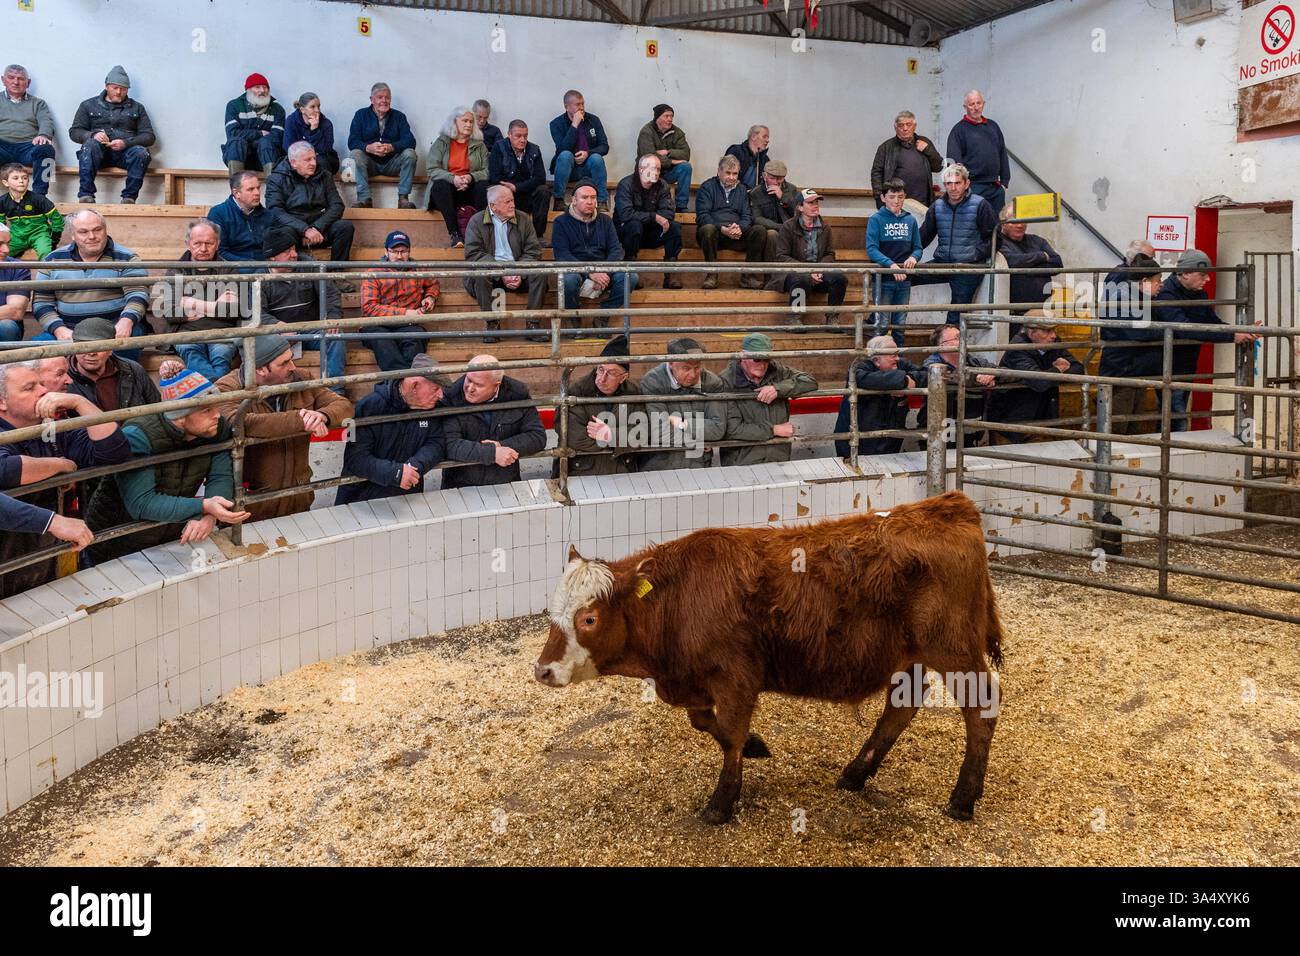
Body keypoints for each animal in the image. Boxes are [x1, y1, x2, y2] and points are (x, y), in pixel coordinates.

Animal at [535, 490, 1005, 825]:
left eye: (589, 618)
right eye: (552, 613)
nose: (543, 670)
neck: (680, 596)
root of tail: (947, 506)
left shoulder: (736, 677)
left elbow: (729, 731)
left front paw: (723, 801)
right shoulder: (697, 681)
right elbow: (707, 722)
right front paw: (756, 747)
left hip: (952, 649)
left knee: (980, 708)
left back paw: (963, 799)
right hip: (911, 655)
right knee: (900, 707)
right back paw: (856, 774)